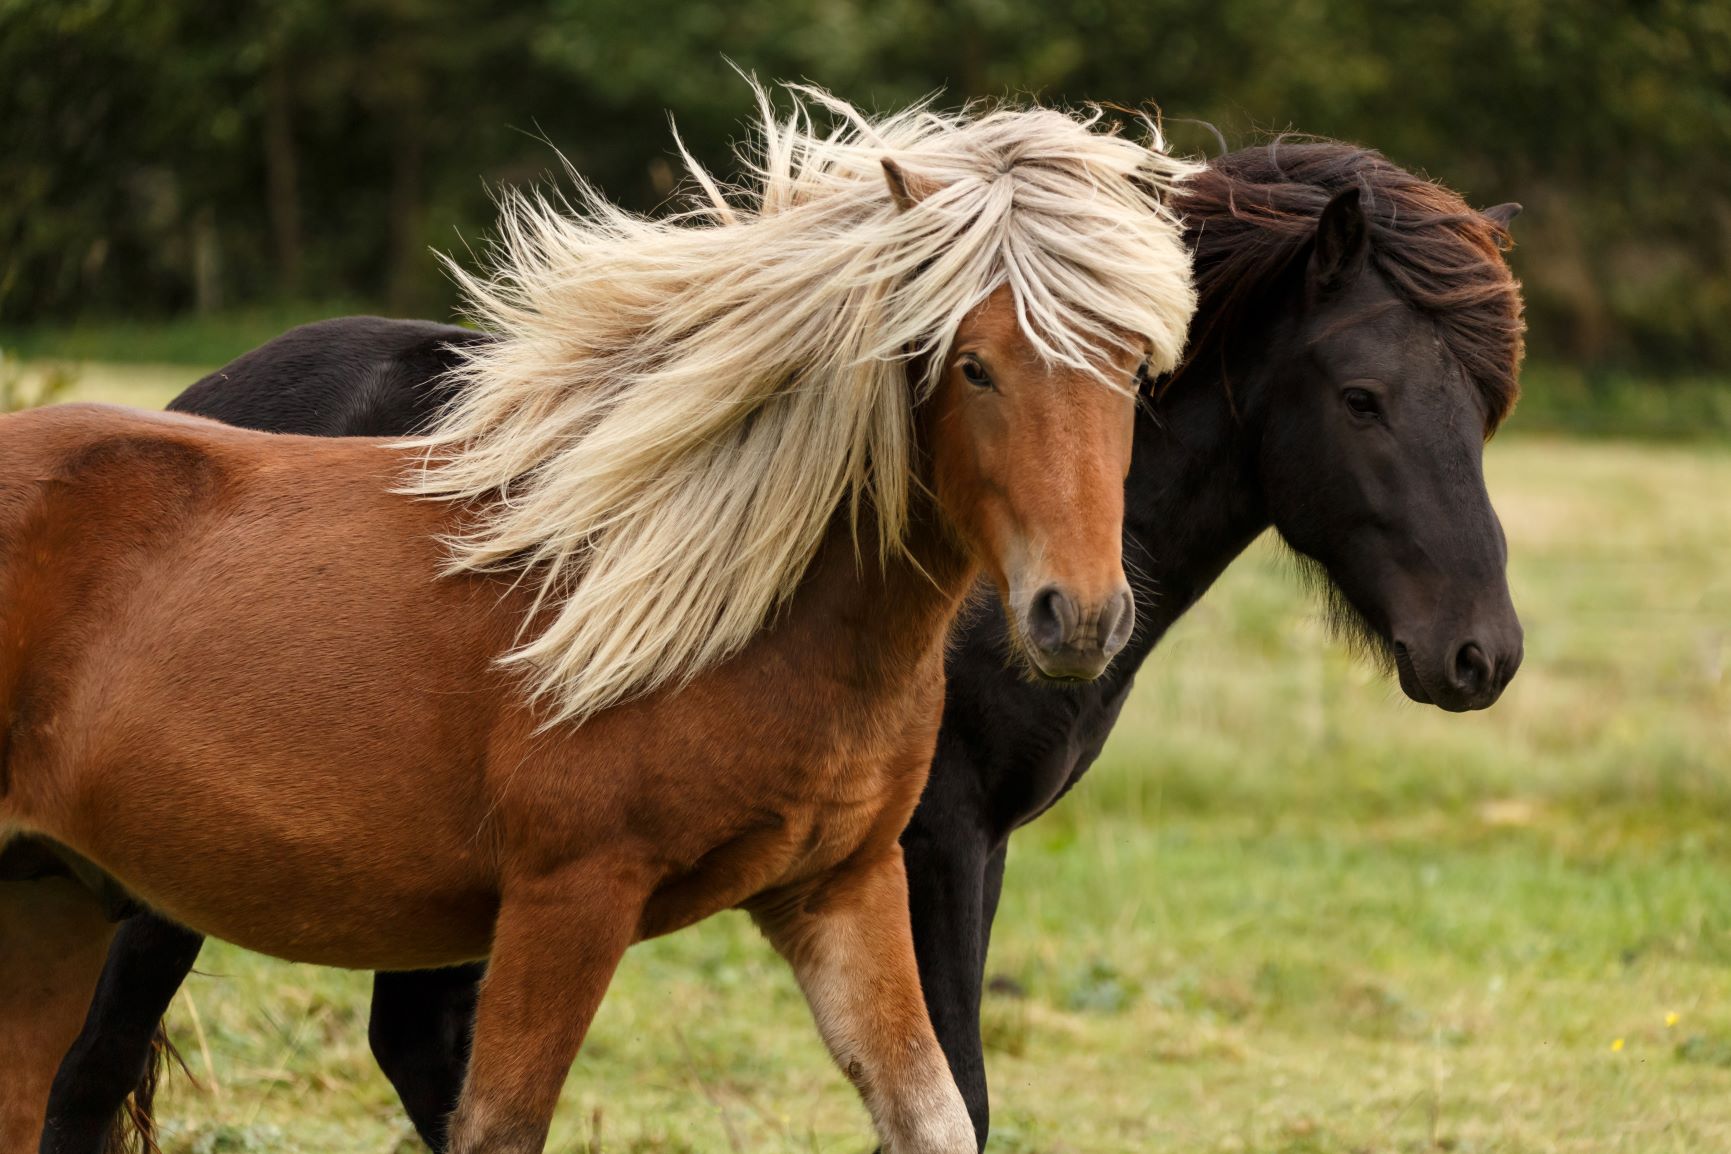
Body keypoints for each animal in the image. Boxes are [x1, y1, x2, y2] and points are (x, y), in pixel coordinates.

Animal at [38, 140, 1525, 1154]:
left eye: (1483, 403)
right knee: (91, 1066)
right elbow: (963, 1082)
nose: (1481, 655)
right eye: (1363, 396)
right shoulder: (935, 842)